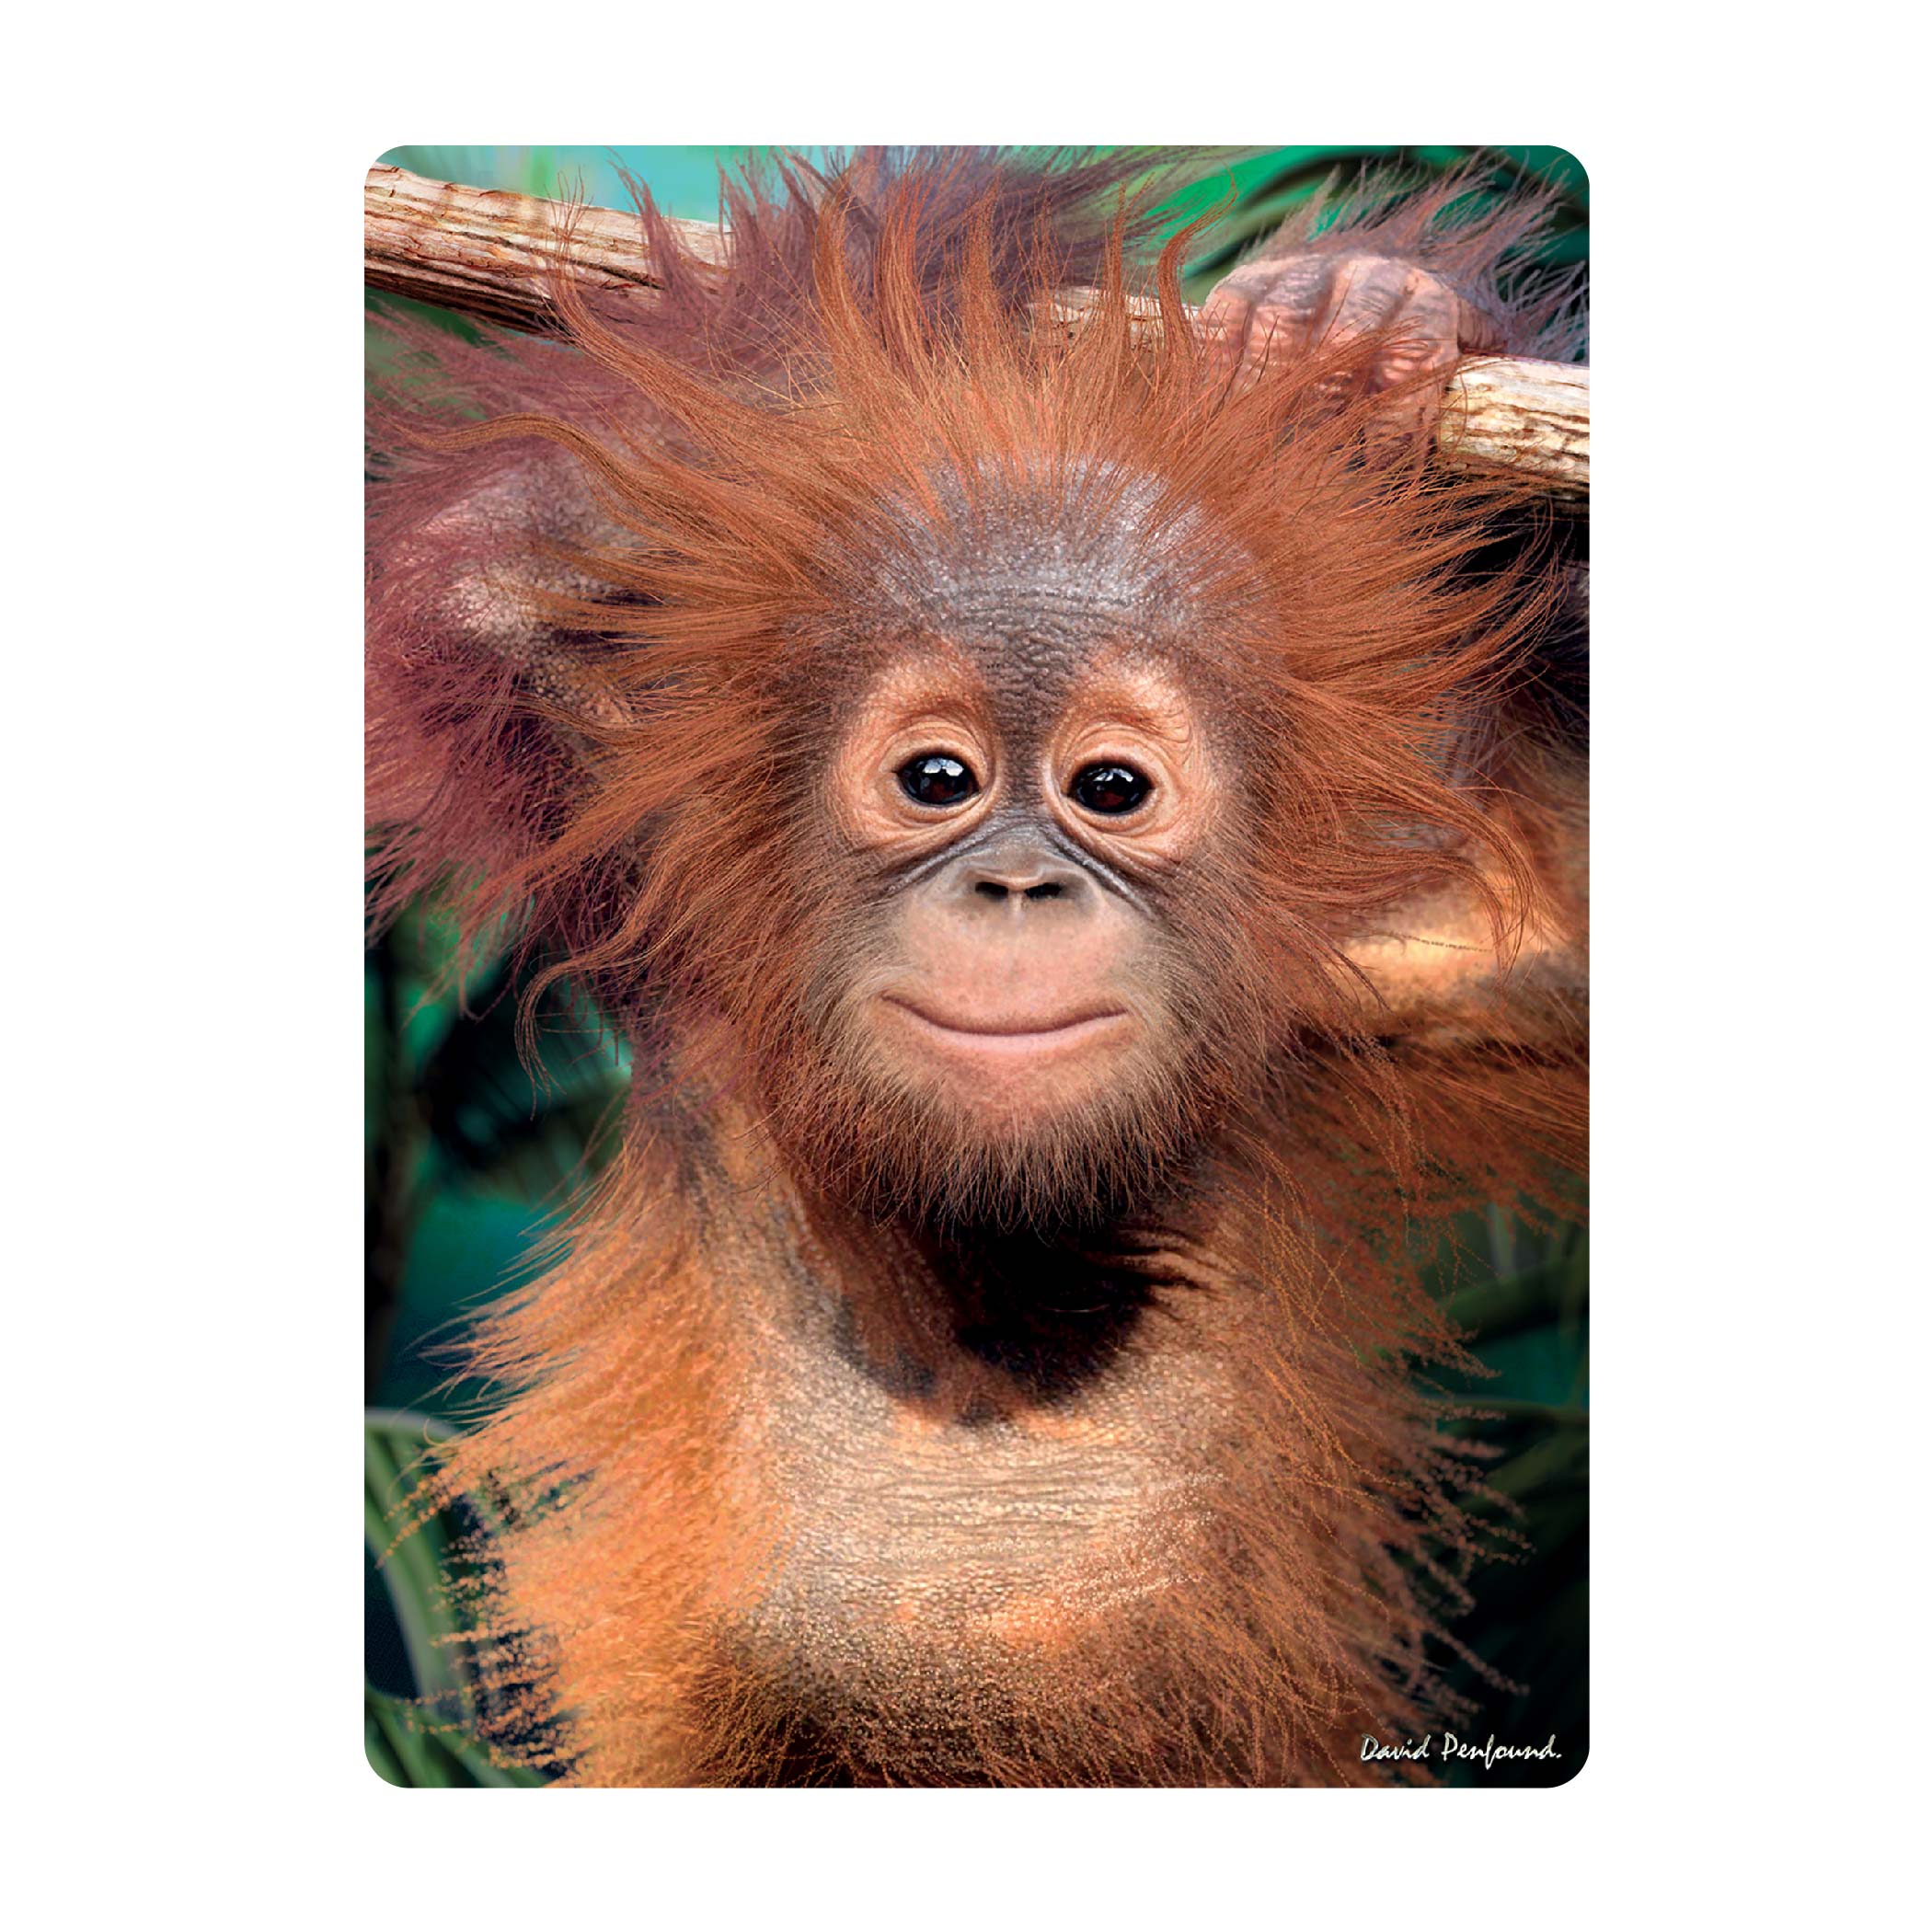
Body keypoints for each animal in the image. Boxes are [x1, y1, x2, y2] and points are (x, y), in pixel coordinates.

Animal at [366, 148, 1587, 1786]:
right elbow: (482, 581)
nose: (1017, 883)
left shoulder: (1381, 986)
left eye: (1112, 790)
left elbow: (1557, 936)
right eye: (937, 779)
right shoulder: (668, 893)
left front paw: (1367, 319)